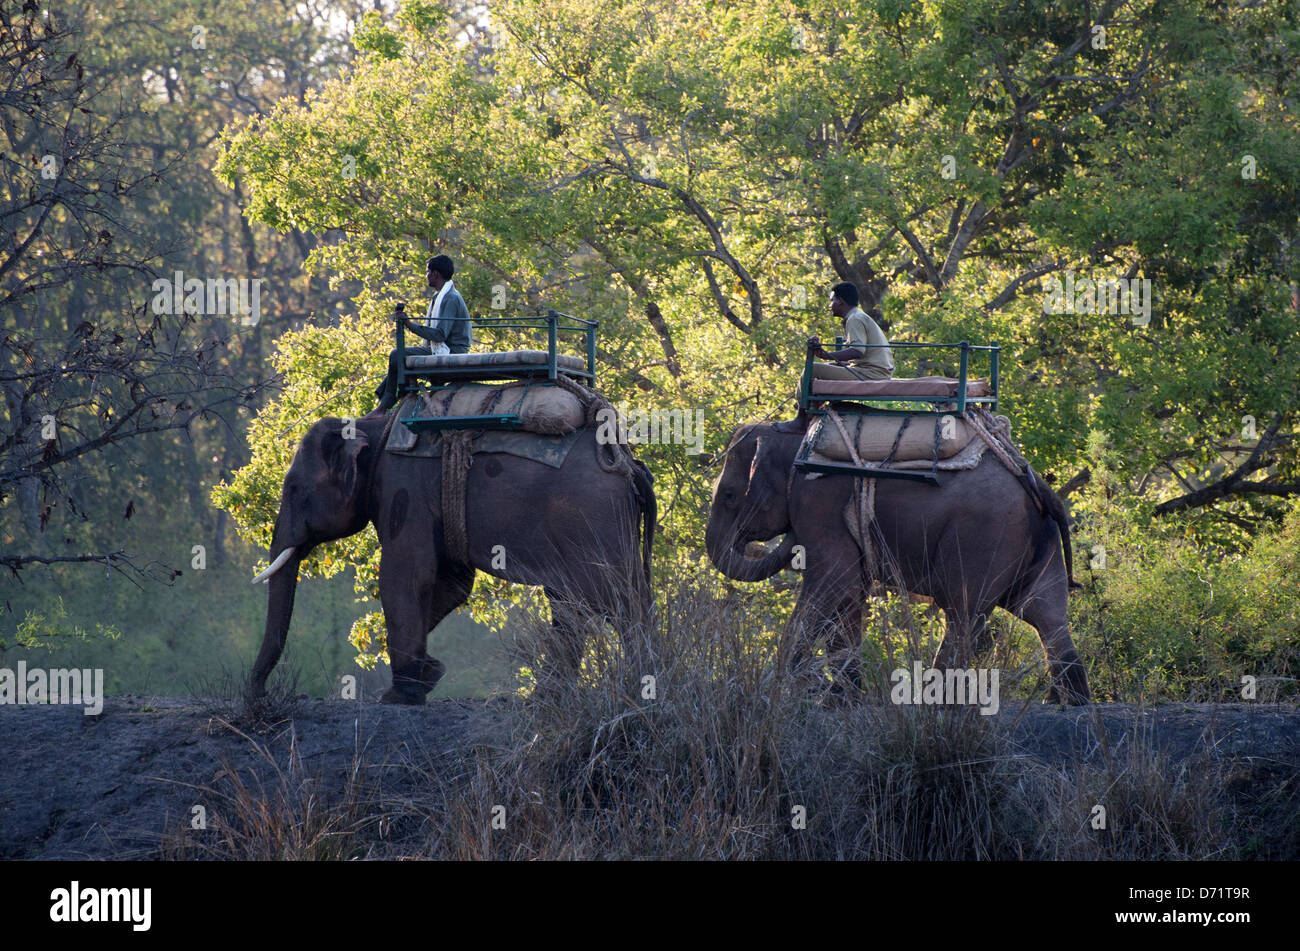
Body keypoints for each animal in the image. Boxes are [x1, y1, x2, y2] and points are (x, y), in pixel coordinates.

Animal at [249, 413, 656, 704]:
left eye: (294, 489)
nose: (260, 698)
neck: (370, 424)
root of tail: (630, 465)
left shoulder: (403, 487)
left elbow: (405, 576)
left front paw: (400, 695)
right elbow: (451, 584)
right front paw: (428, 673)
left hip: (590, 520)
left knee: (615, 600)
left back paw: (640, 688)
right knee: (575, 604)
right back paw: (553, 696)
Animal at [705, 421, 1090, 704]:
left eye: (729, 496)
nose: (786, 539)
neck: (795, 440)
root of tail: (1033, 481)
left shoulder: (818, 502)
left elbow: (836, 580)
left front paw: (790, 692)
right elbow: (849, 595)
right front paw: (840, 699)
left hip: (983, 535)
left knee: (963, 613)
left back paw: (936, 700)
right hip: (1034, 542)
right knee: (1044, 612)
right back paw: (1068, 702)